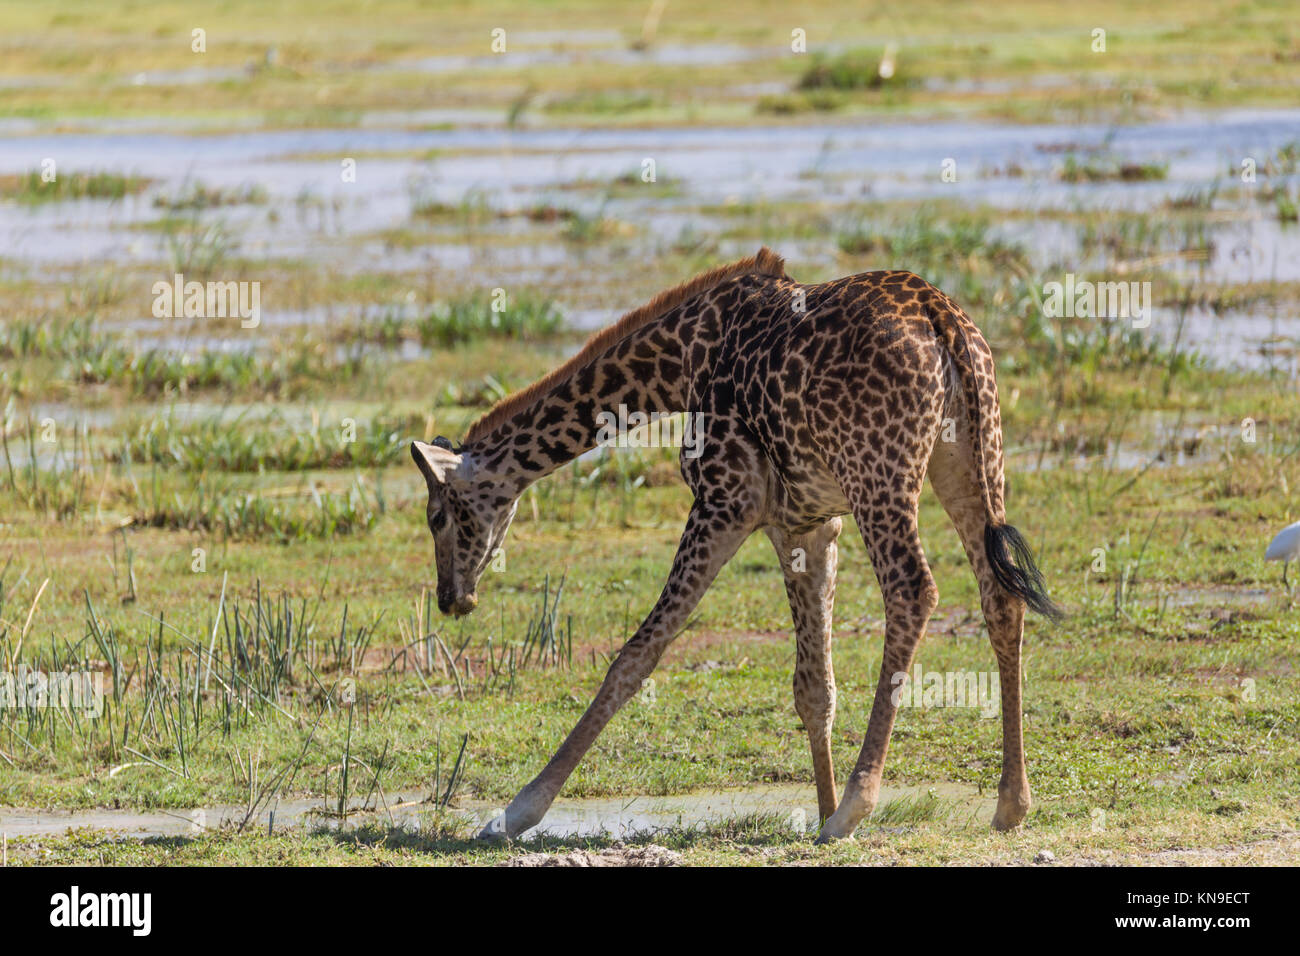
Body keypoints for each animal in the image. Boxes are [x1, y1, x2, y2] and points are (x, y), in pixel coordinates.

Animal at [410, 247, 1062, 843]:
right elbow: (814, 687)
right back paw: (1011, 803)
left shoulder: (724, 500)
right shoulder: (805, 524)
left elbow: (635, 655)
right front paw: (821, 811)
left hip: (880, 474)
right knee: (1000, 595)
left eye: (438, 515)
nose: (452, 597)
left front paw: (515, 812)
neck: (675, 367)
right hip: (972, 457)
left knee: (914, 590)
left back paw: (860, 803)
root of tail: (940, 316)